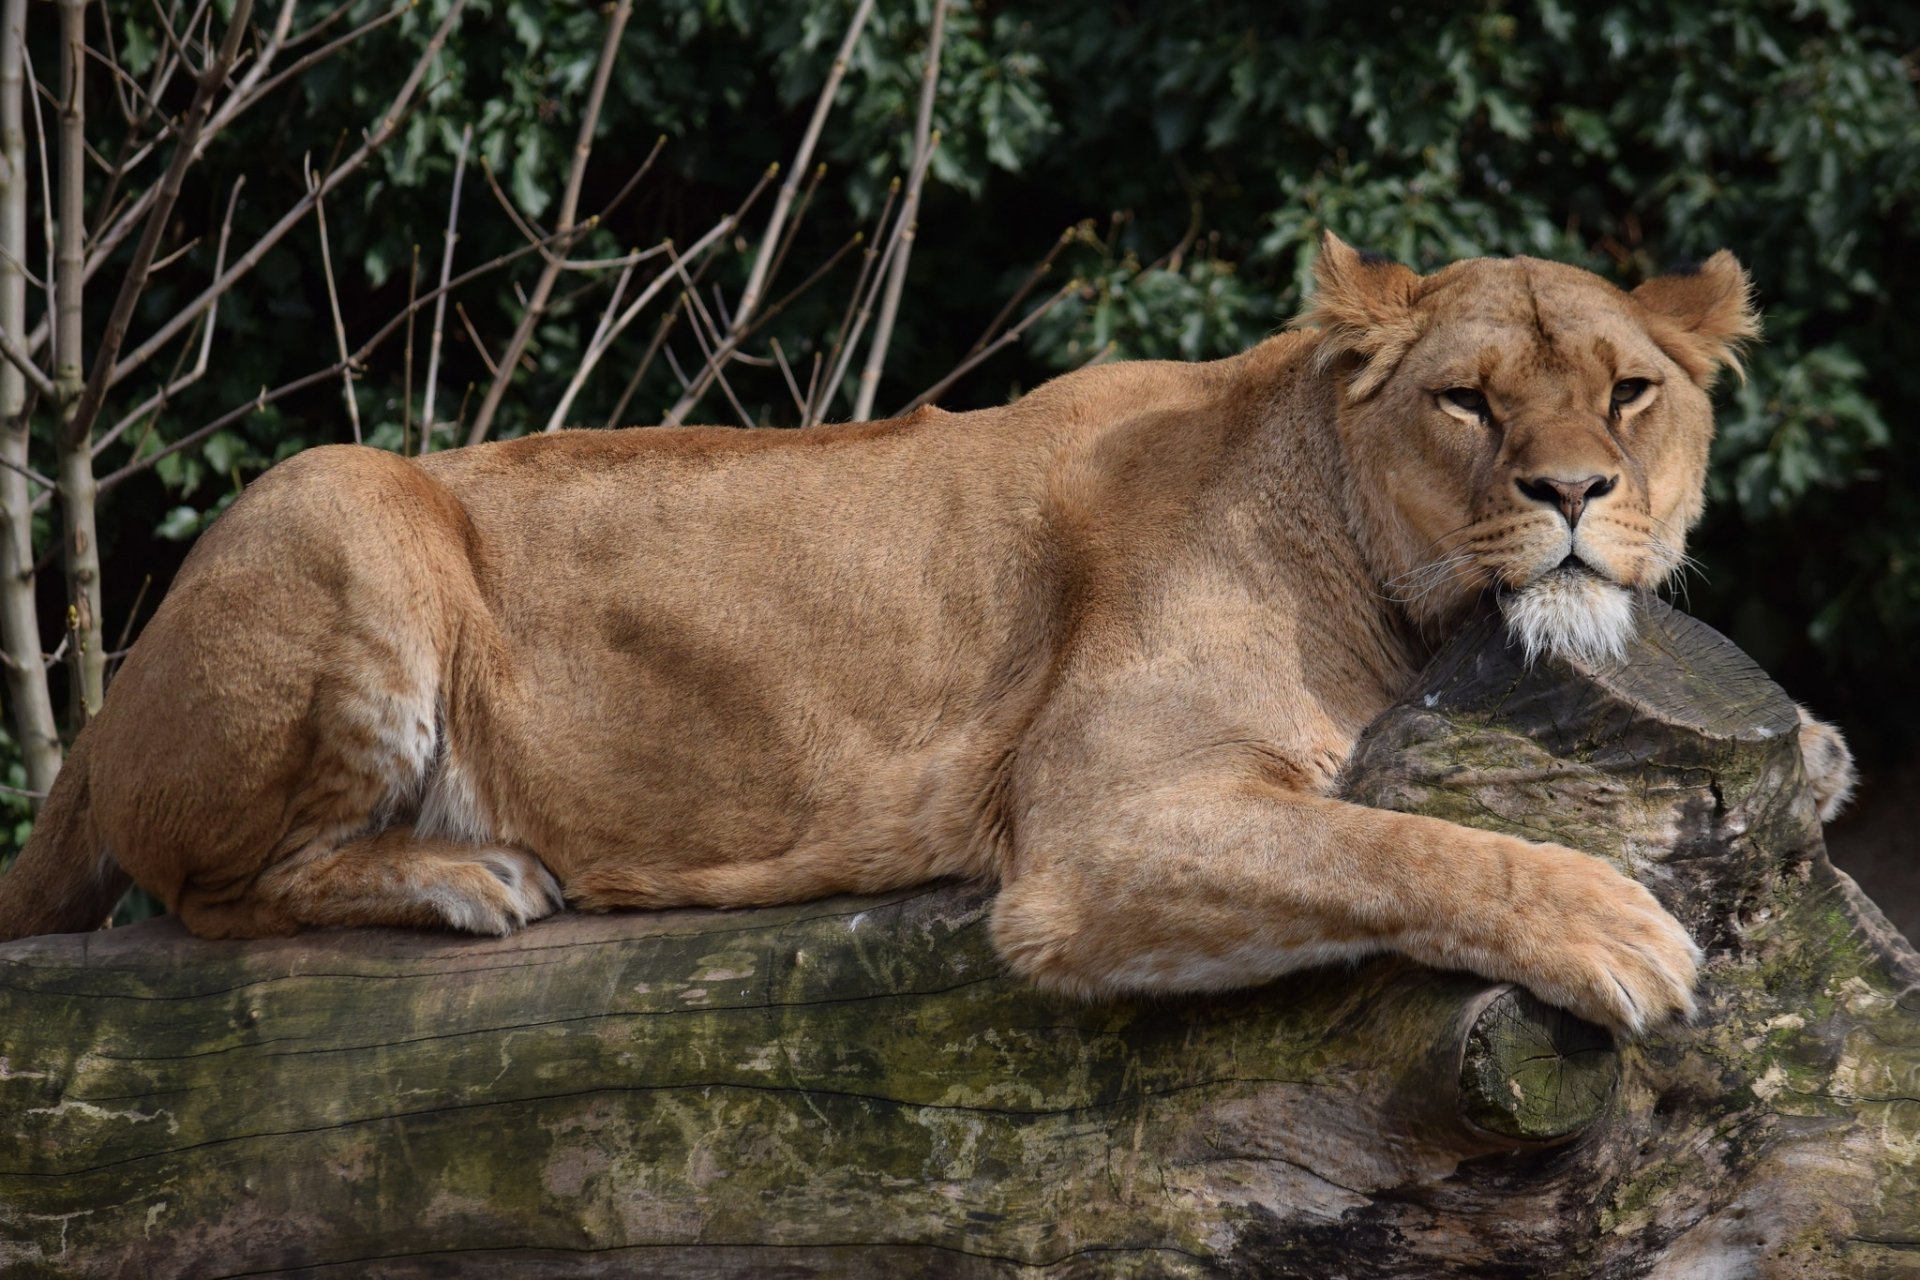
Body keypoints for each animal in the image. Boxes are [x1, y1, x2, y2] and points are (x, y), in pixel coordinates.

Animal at [0, 234, 1854, 1036]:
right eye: (1468, 401)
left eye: (1631, 389)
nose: (1573, 489)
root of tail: (102, 719)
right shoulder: (1098, 835)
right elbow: (1399, 847)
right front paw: (1619, 933)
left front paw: (1825, 753)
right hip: (338, 500)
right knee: (206, 891)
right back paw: (467, 875)